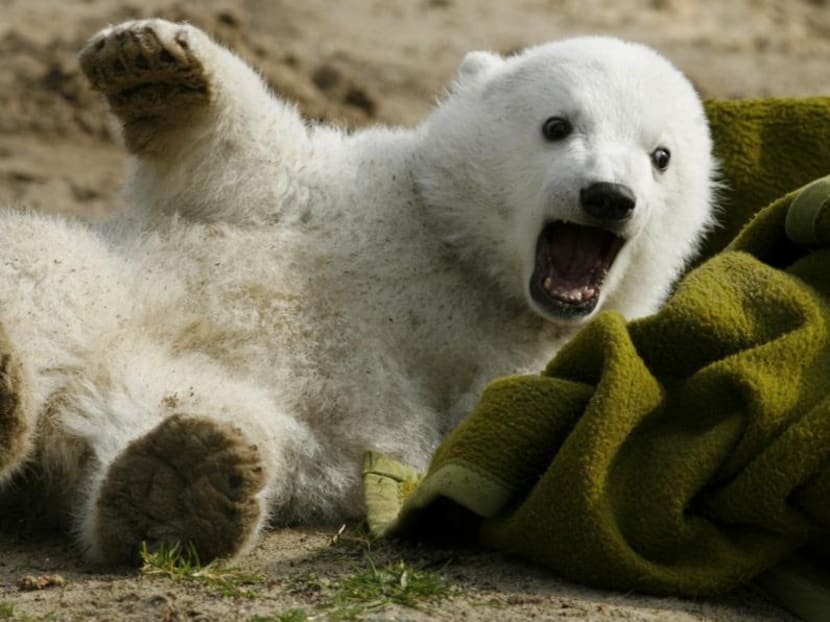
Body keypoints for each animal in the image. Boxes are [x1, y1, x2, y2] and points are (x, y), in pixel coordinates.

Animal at [0, 19, 715, 565]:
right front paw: (151, 61)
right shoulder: (363, 193)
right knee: (43, 276)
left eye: (660, 156)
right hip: (107, 278)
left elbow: (505, 421)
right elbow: (254, 163)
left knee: (177, 412)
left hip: (184, 384)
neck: (476, 274)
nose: (608, 197)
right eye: (557, 125)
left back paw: (176, 480)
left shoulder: (534, 354)